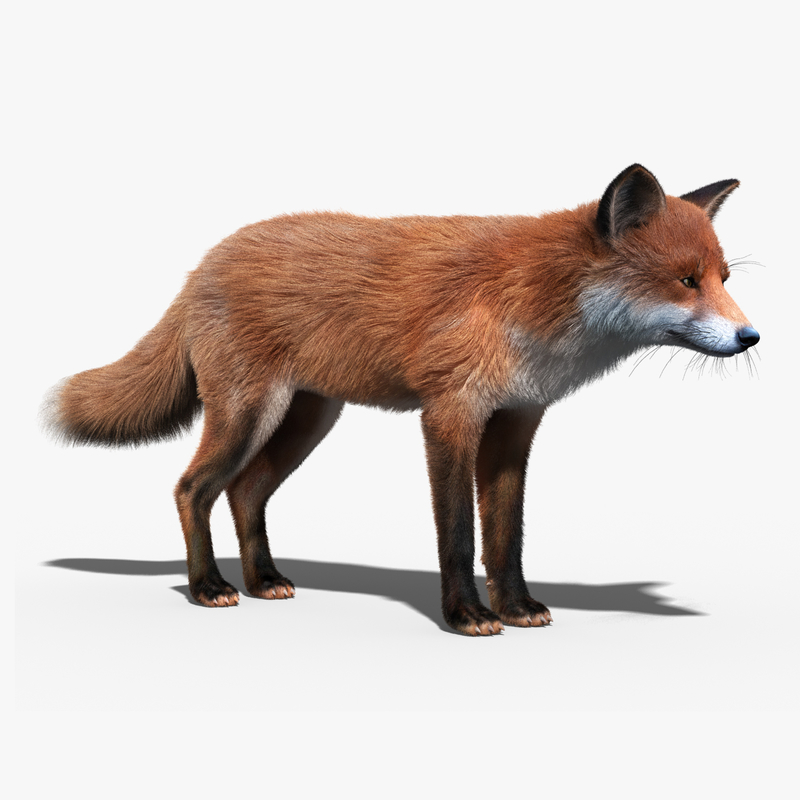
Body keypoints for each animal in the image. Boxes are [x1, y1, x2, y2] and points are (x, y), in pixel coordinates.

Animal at [42, 164, 759, 636]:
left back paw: (264, 579)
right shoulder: (449, 415)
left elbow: (506, 536)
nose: (752, 337)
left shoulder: (516, 422)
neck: (534, 299)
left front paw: (517, 607)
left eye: (724, 279)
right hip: (249, 414)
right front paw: (466, 615)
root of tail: (206, 262)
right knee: (193, 489)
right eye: (685, 281)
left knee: (245, 493)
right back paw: (206, 587)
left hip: (307, 420)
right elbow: (458, 533)